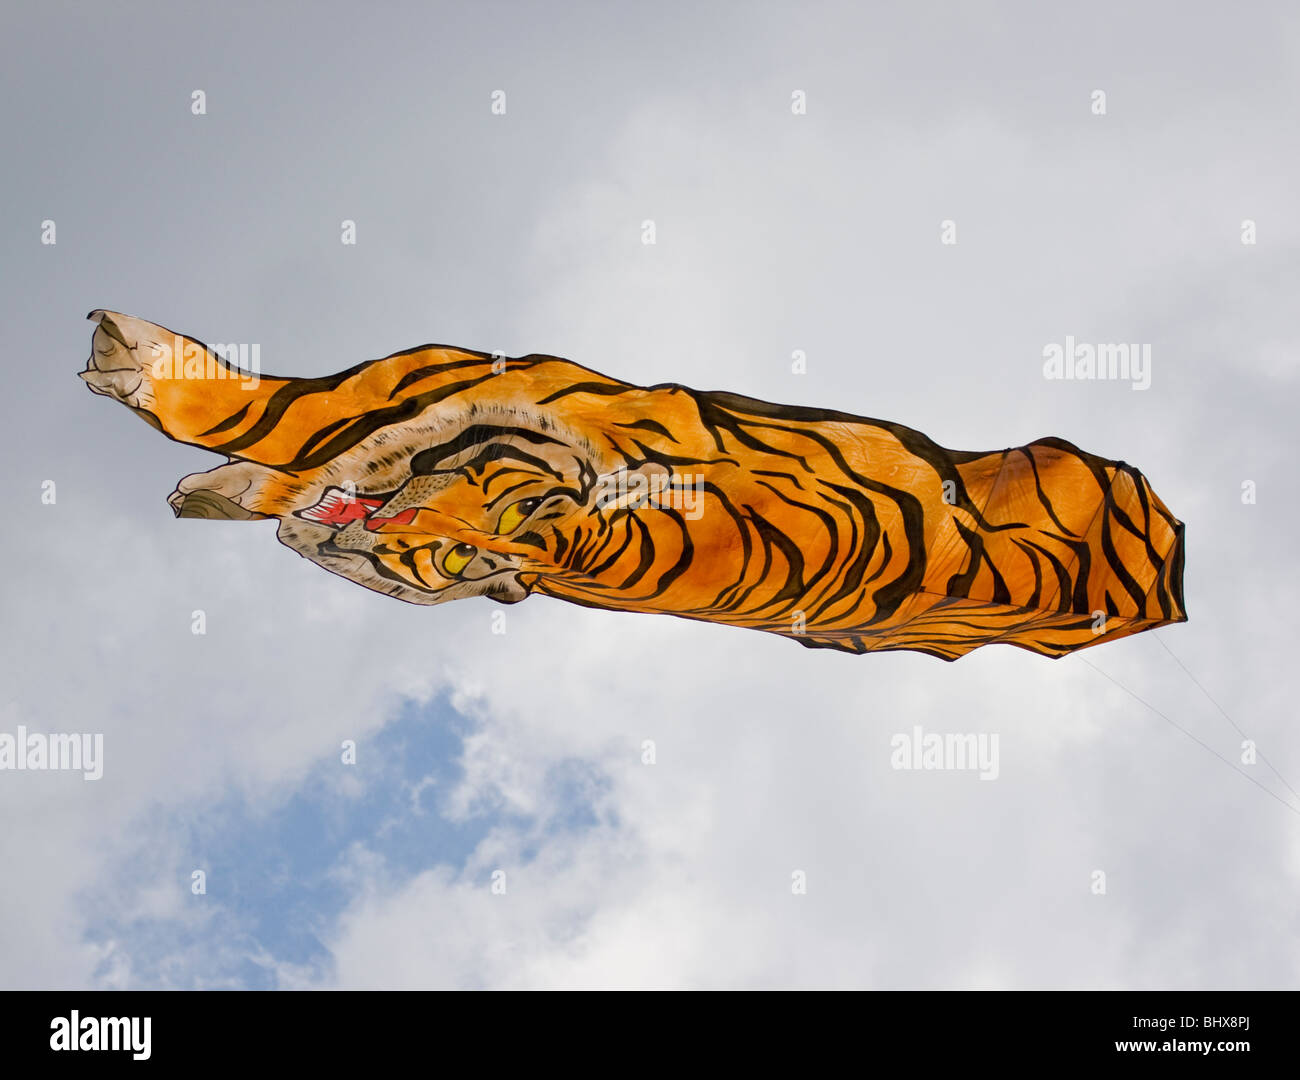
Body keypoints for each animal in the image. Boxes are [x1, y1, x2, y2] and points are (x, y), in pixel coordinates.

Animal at [79, 310, 1187, 661]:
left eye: (448, 562)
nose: (371, 534)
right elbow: (294, 447)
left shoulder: (455, 379)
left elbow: (287, 415)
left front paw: (137, 367)